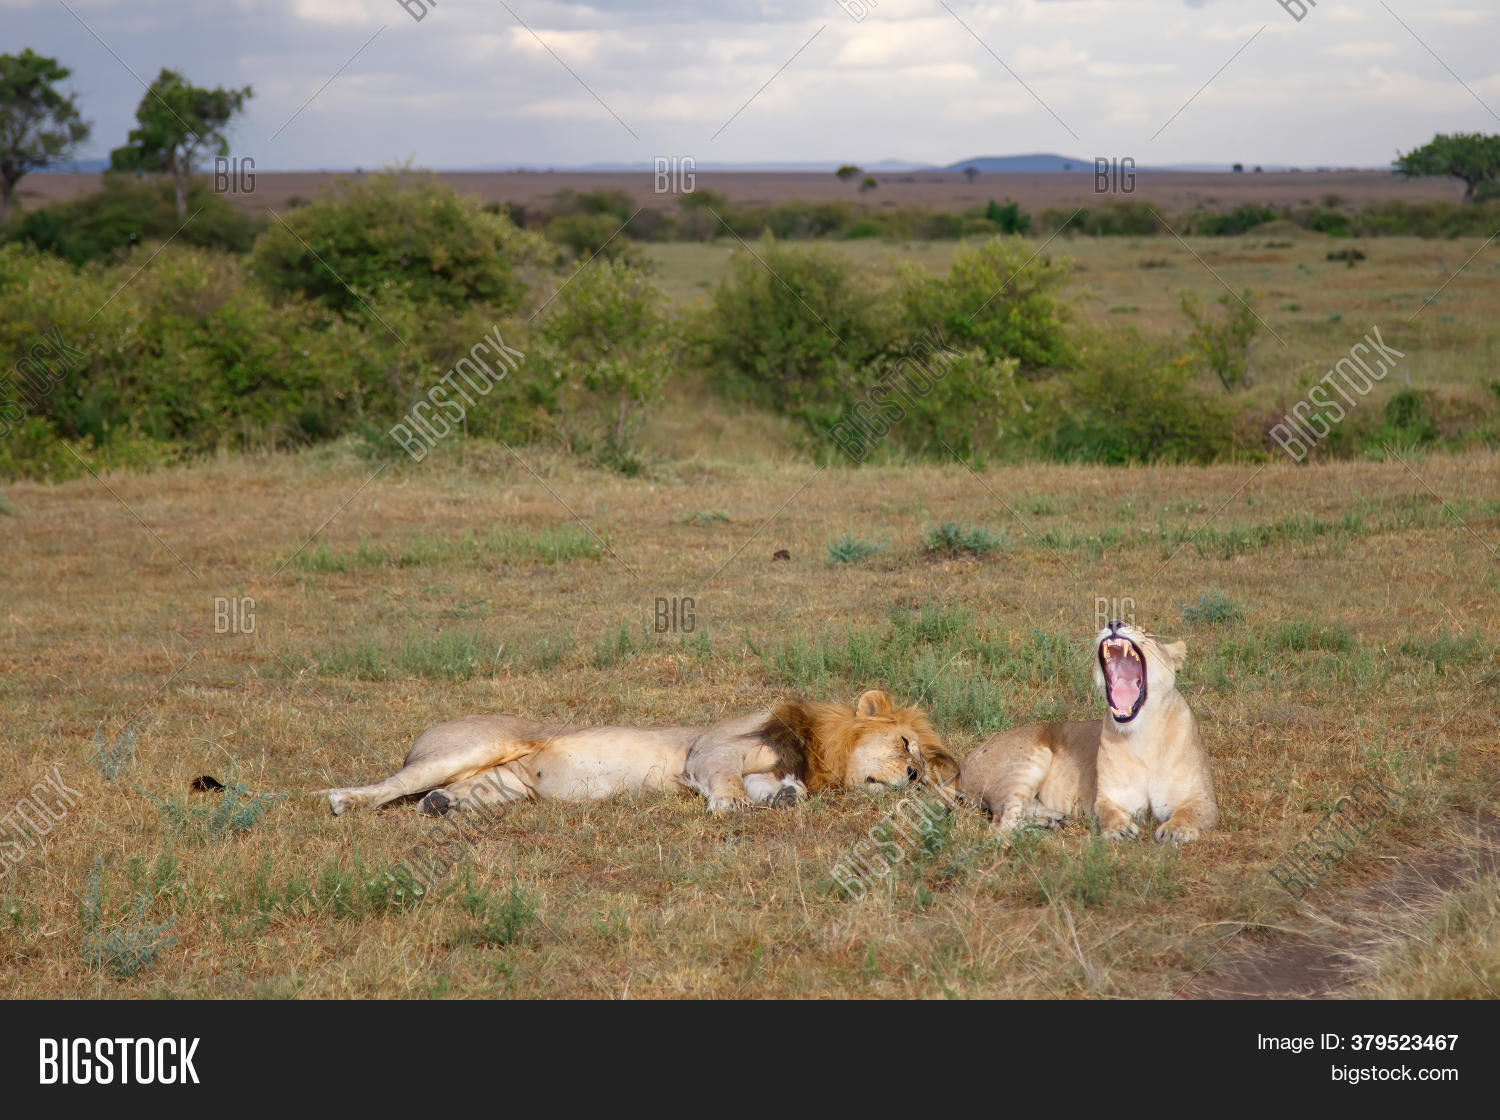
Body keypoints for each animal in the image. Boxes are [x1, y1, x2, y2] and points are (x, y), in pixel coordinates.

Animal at [958, 621, 1216, 843]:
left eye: (1149, 634)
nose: (1114, 623)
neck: (1143, 733)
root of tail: (965, 762)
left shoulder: (1202, 797)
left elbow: (1191, 812)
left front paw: (1176, 831)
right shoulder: (1110, 796)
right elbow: (1108, 812)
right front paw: (1120, 830)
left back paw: (1052, 819)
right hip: (1028, 762)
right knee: (1001, 824)